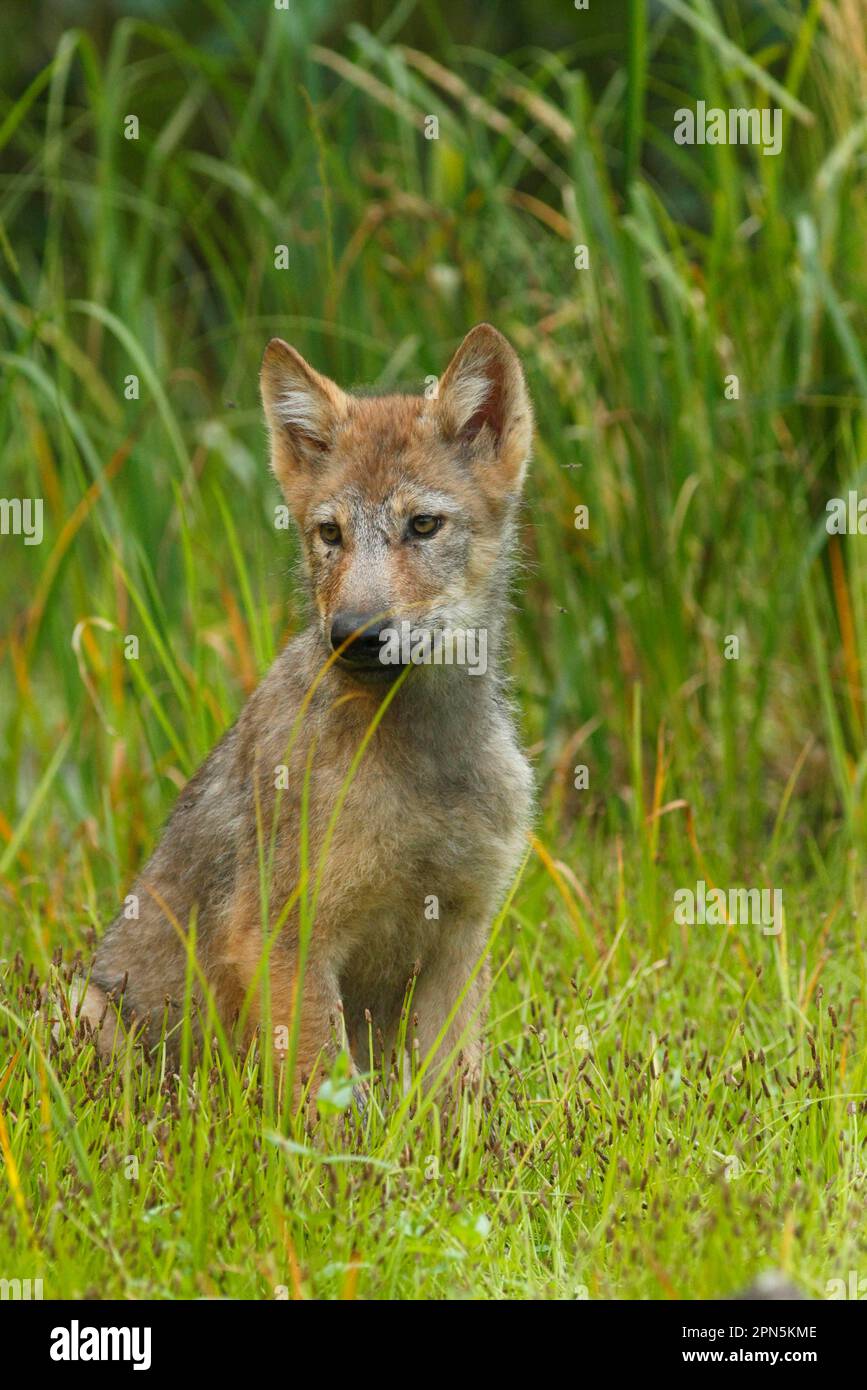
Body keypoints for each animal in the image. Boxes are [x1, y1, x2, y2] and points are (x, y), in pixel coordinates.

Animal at [76, 323, 534, 1102]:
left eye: (423, 525)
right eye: (330, 535)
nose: (352, 633)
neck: (426, 758)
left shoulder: (462, 933)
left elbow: (452, 1097)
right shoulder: (287, 938)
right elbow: (329, 1099)